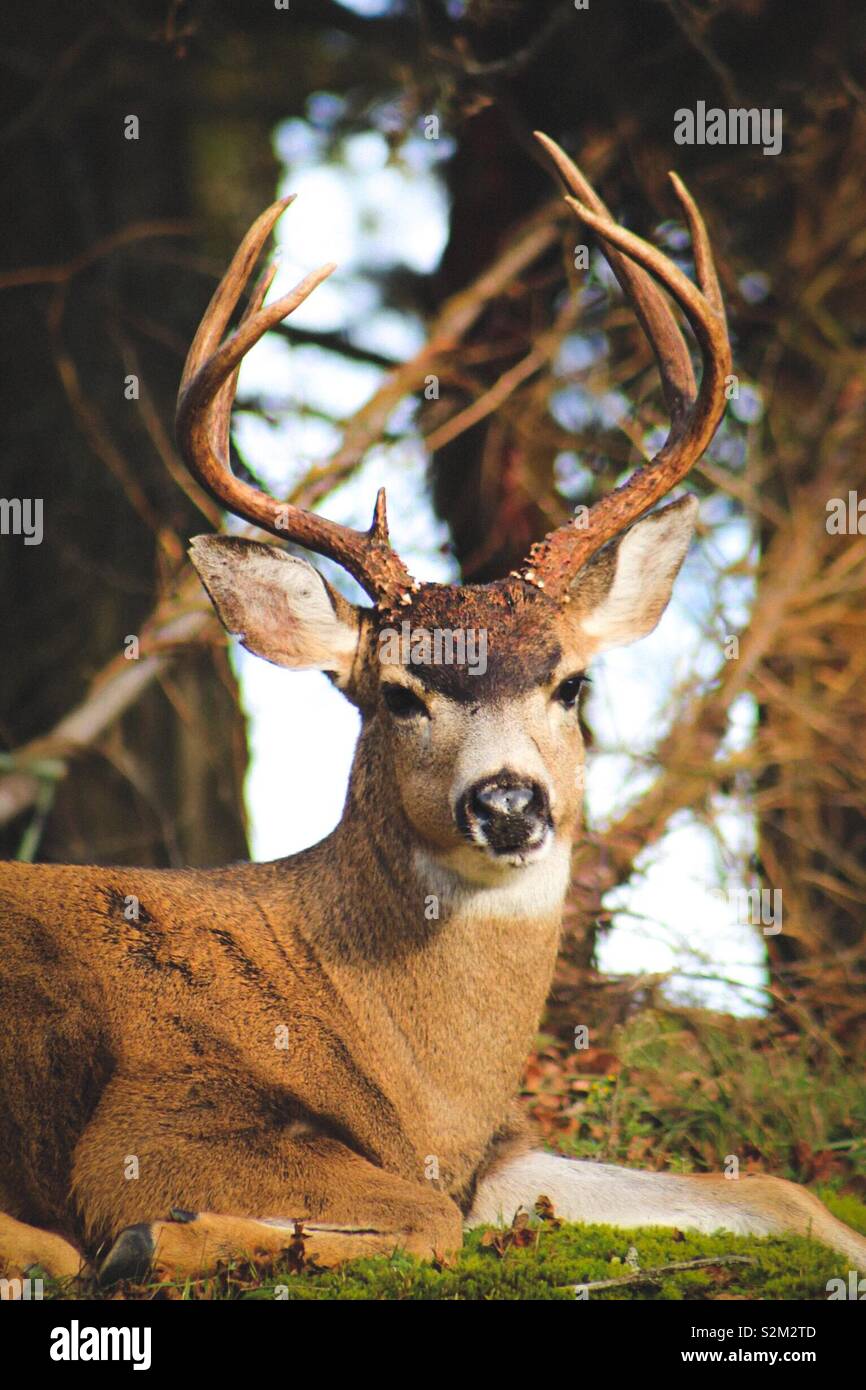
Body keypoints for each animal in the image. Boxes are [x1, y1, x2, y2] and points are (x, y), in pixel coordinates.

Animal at [2, 133, 864, 1290]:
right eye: (400, 693)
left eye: (571, 683)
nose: (507, 803)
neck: (426, 1098)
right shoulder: (152, 1118)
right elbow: (427, 1219)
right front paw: (150, 1239)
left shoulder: (496, 1151)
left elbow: (777, 1190)